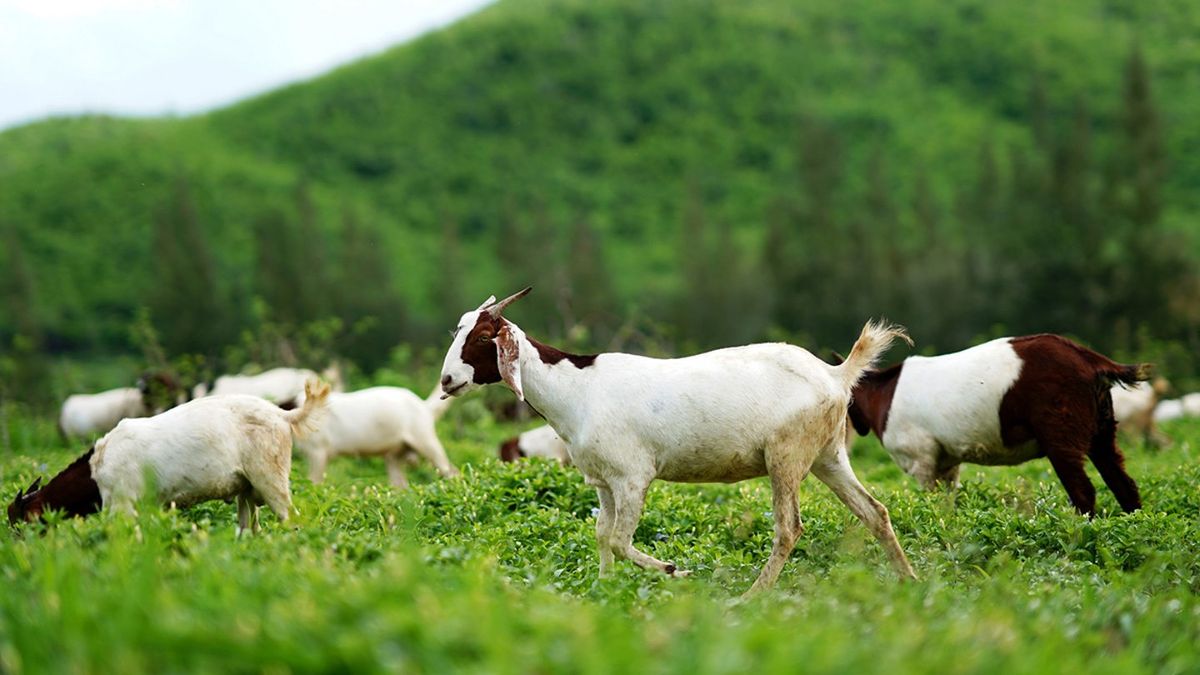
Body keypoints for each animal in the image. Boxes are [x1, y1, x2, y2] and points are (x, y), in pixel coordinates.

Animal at [12, 381, 330, 535]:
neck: (96, 471)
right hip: (248, 490)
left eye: (20, 523)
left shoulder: (123, 505)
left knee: (291, 519)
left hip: (271, 478)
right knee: (249, 528)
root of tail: (283, 415)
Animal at [293, 385, 458, 488]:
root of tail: (425, 406)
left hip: (425, 439)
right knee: (400, 484)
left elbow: (314, 481)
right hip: (395, 455)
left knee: (450, 470)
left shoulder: (318, 451)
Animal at [439, 288, 915, 595]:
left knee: (788, 528)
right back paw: (909, 581)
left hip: (786, 454)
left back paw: (752, 597)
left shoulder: (633, 477)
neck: (577, 389)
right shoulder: (603, 482)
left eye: (482, 337)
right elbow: (601, 535)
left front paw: (675, 571)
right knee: (875, 511)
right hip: (827, 456)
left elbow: (619, 541)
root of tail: (835, 374)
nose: (447, 380)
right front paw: (604, 589)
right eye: (457, 331)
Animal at [842, 335, 1147, 516]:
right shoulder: (946, 462)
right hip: (1102, 432)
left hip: (1061, 435)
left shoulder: (921, 460)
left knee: (1083, 490)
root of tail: (1089, 359)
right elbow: (948, 502)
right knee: (1122, 482)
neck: (883, 393)